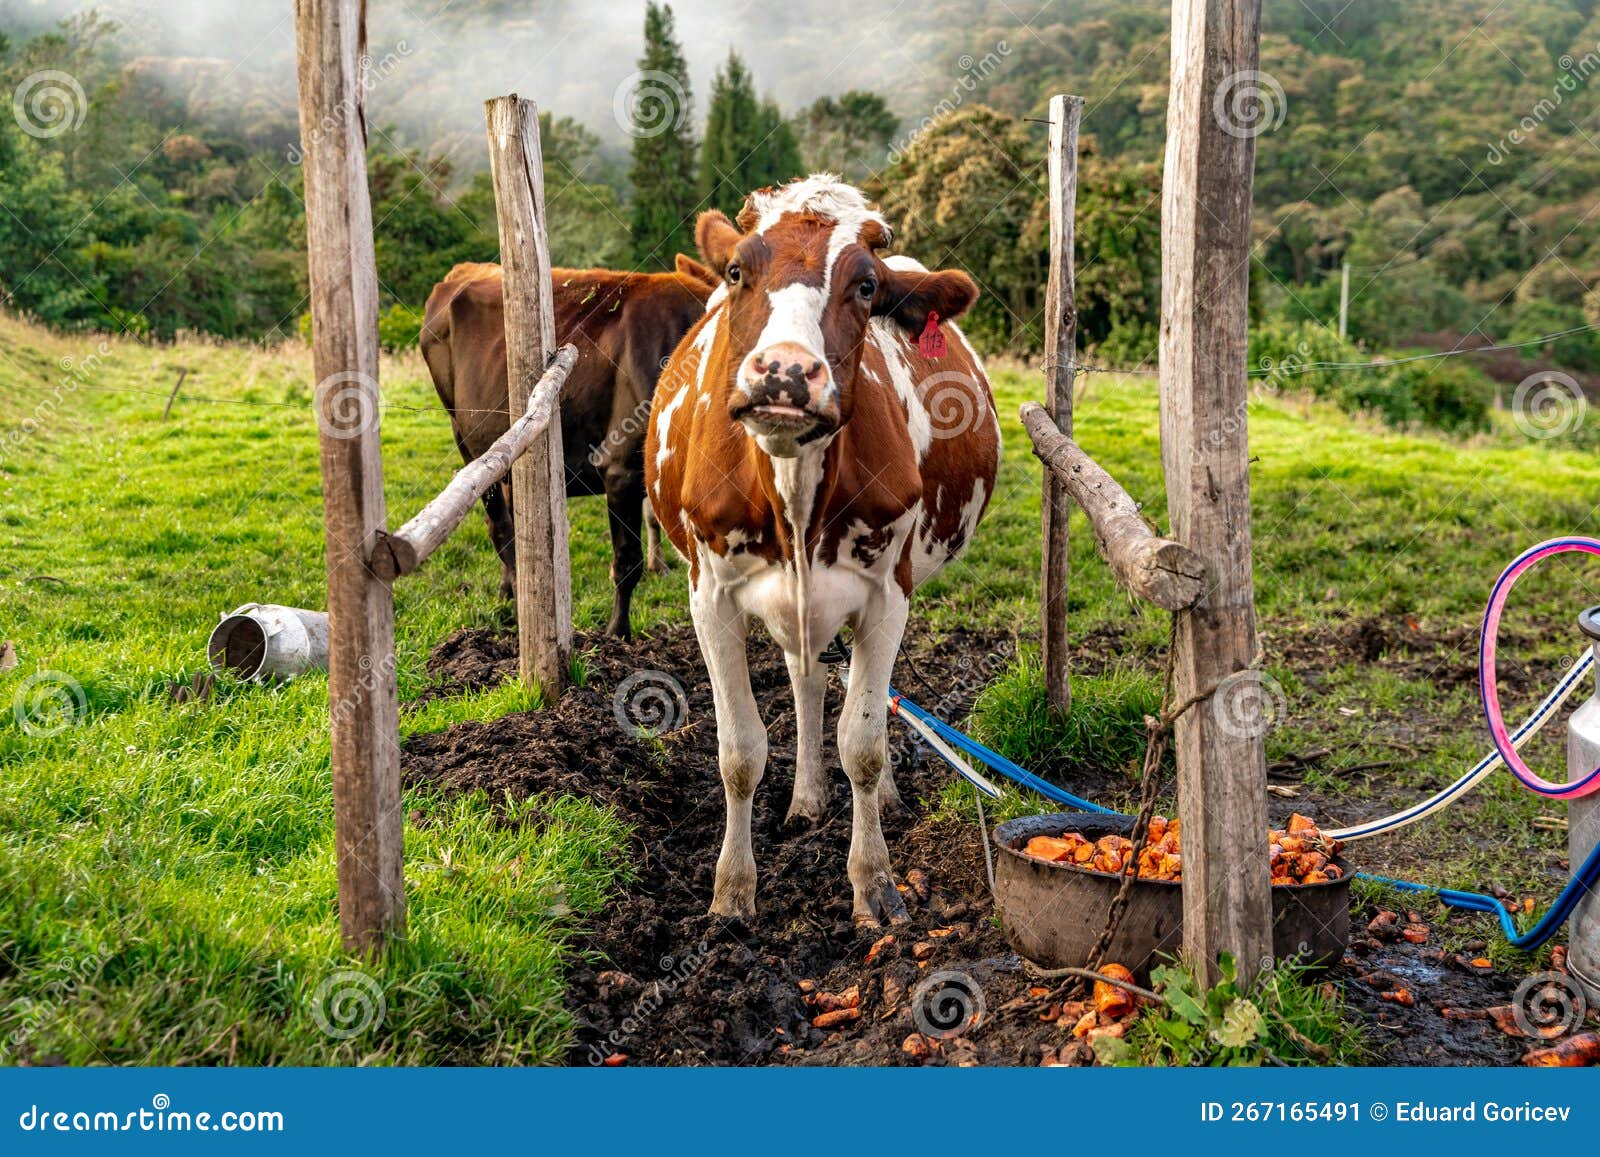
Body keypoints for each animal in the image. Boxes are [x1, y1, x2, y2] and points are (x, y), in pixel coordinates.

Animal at [421, 256, 718, 636]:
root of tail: (464, 269)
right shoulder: (620, 467)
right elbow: (628, 562)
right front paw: (617, 633)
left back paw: (507, 591)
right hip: (466, 439)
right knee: (500, 527)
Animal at [645, 176, 1000, 926]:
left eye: (866, 286)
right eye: (737, 271)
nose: (784, 372)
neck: (793, 476)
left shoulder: (887, 592)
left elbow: (861, 744)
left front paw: (874, 883)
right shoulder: (709, 596)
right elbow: (739, 752)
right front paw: (732, 892)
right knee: (805, 679)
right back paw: (806, 797)